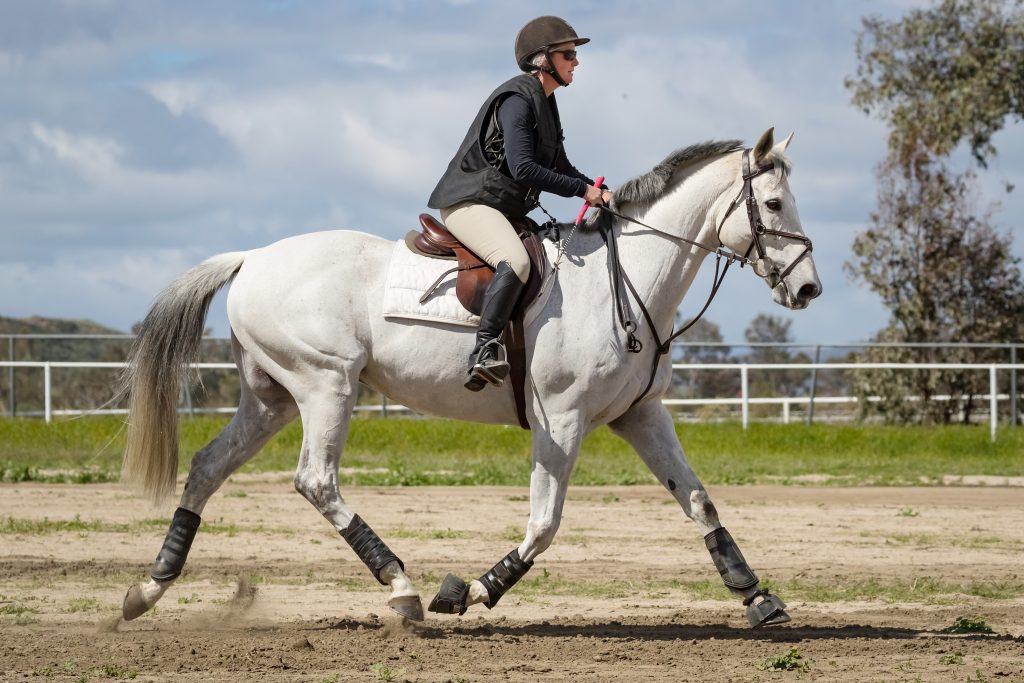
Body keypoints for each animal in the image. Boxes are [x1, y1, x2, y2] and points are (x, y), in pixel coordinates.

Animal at [118, 127, 820, 628]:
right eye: (774, 203)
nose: (809, 289)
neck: (624, 281)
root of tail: (252, 258)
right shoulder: (562, 419)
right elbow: (545, 523)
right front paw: (471, 589)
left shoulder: (640, 416)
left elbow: (699, 500)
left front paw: (756, 597)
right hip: (325, 387)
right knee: (317, 481)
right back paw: (401, 588)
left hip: (272, 400)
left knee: (208, 466)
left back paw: (148, 588)